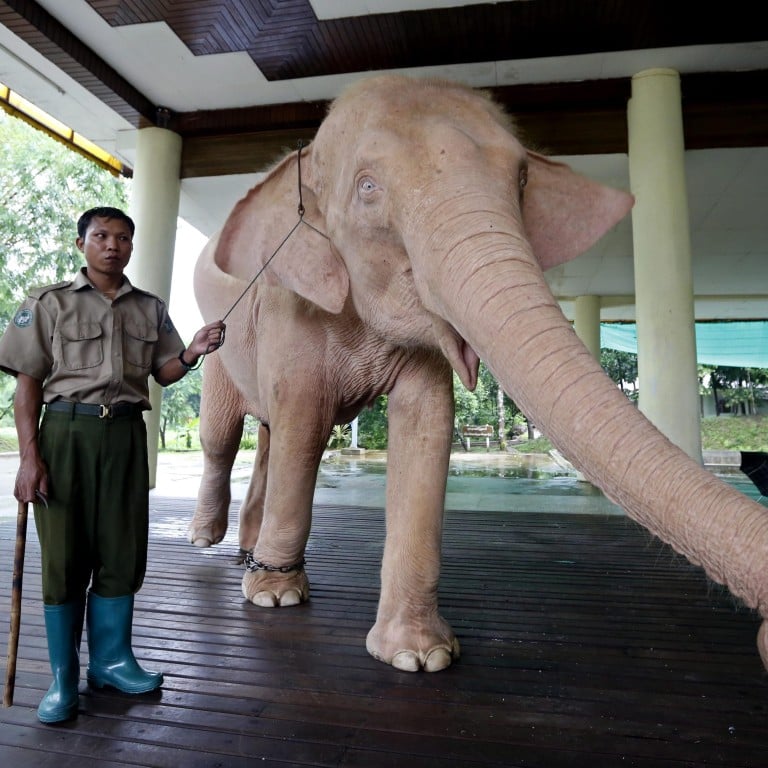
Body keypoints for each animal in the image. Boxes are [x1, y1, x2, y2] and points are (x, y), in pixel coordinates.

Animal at [188, 74, 768, 673]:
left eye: (521, 178)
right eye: (367, 188)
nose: (764, 633)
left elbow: (427, 425)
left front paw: (419, 657)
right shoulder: (290, 308)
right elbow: (304, 425)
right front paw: (275, 597)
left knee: (267, 436)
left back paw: (247, 553)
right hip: (223, 352)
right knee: (225, 437)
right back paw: (210, 543)